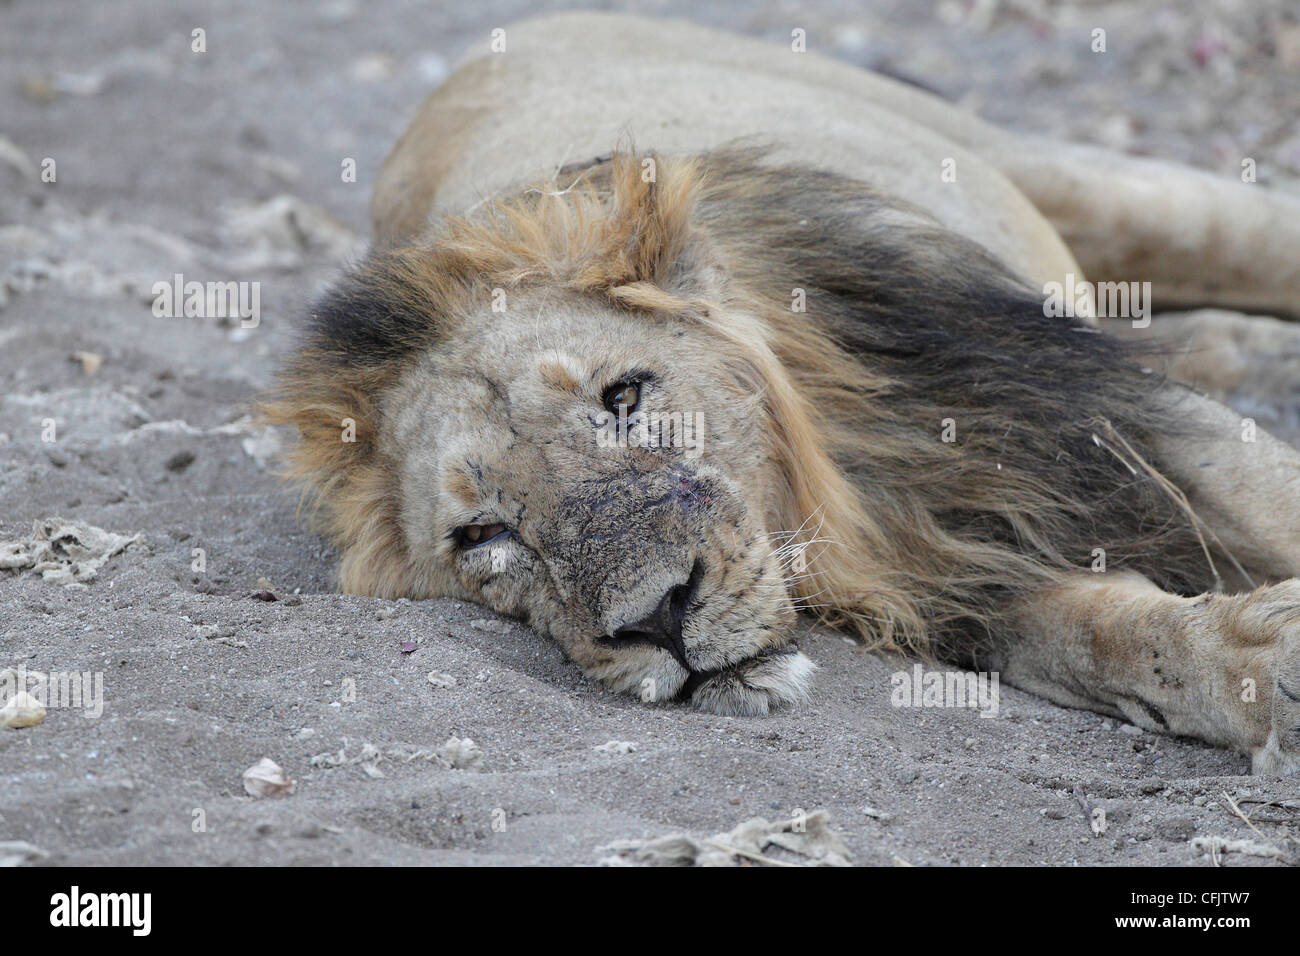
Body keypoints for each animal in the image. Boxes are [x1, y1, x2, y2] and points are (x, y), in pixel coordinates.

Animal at [264, 13, 1300, 775]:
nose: (658, 618)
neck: (850, 488)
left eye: (626, 397)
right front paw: (1260, 668)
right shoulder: (967, 573)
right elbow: (1107, 636)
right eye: (483, 536)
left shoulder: (1112, 425)